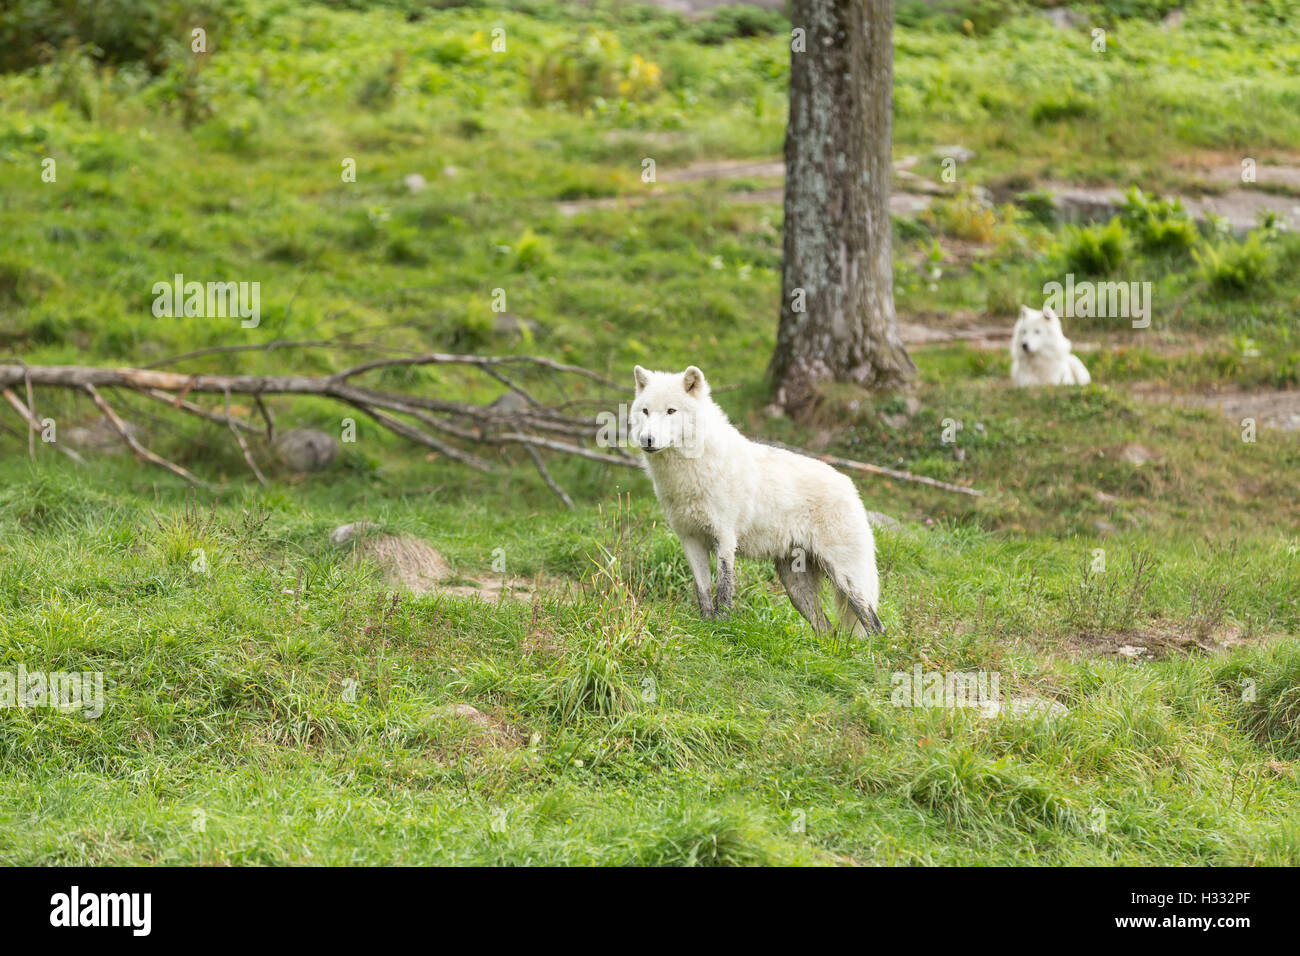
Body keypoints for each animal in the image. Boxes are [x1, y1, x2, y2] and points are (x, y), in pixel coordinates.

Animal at [630, 365, 883, 636]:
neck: (688, 472)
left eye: (671, 411)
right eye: (645, 411)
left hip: (846, 578)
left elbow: (724, 592)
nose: (647, 439)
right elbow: (703, 593)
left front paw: (722, 630)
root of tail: (851, 487)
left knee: (876, 626)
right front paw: (705, 628)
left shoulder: (724, 539)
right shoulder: (690, 540)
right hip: (796, 587)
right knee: (827, 630)